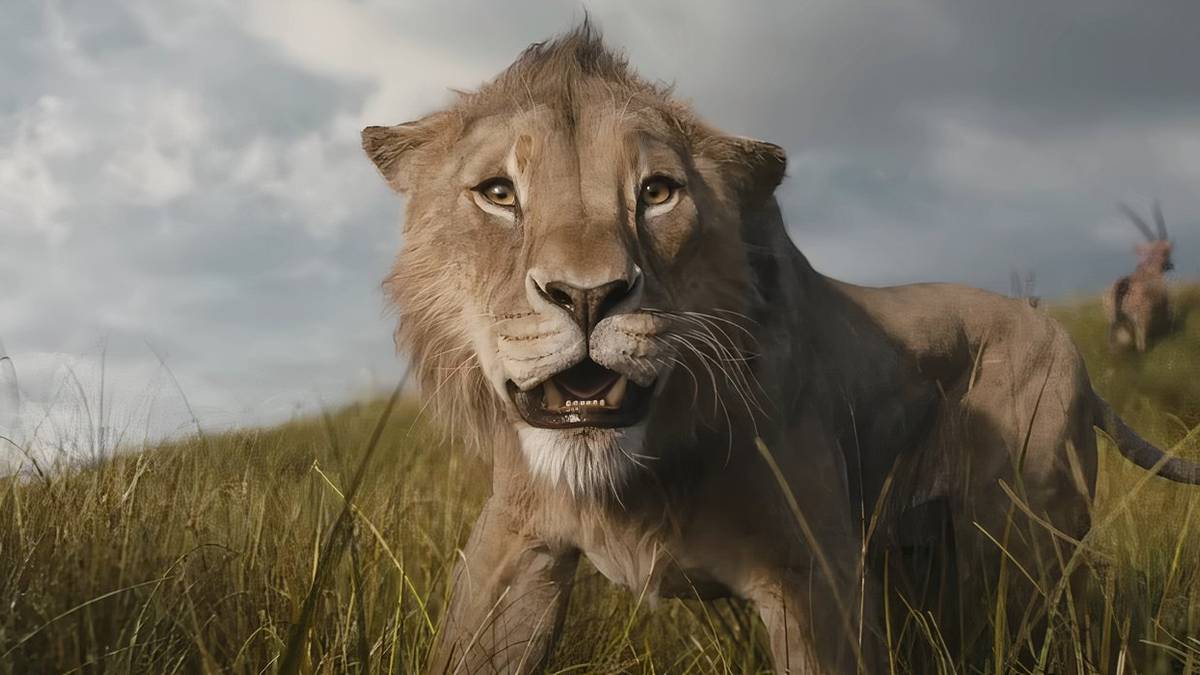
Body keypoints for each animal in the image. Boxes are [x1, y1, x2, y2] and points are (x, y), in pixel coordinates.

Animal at [362, 25, 1200, 674]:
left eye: (656, 192)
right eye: (498, 193)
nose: (587, 295)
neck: (637, 472)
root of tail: (1068, 343)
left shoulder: (818, 578)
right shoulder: (512, 544)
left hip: (1023, 532)